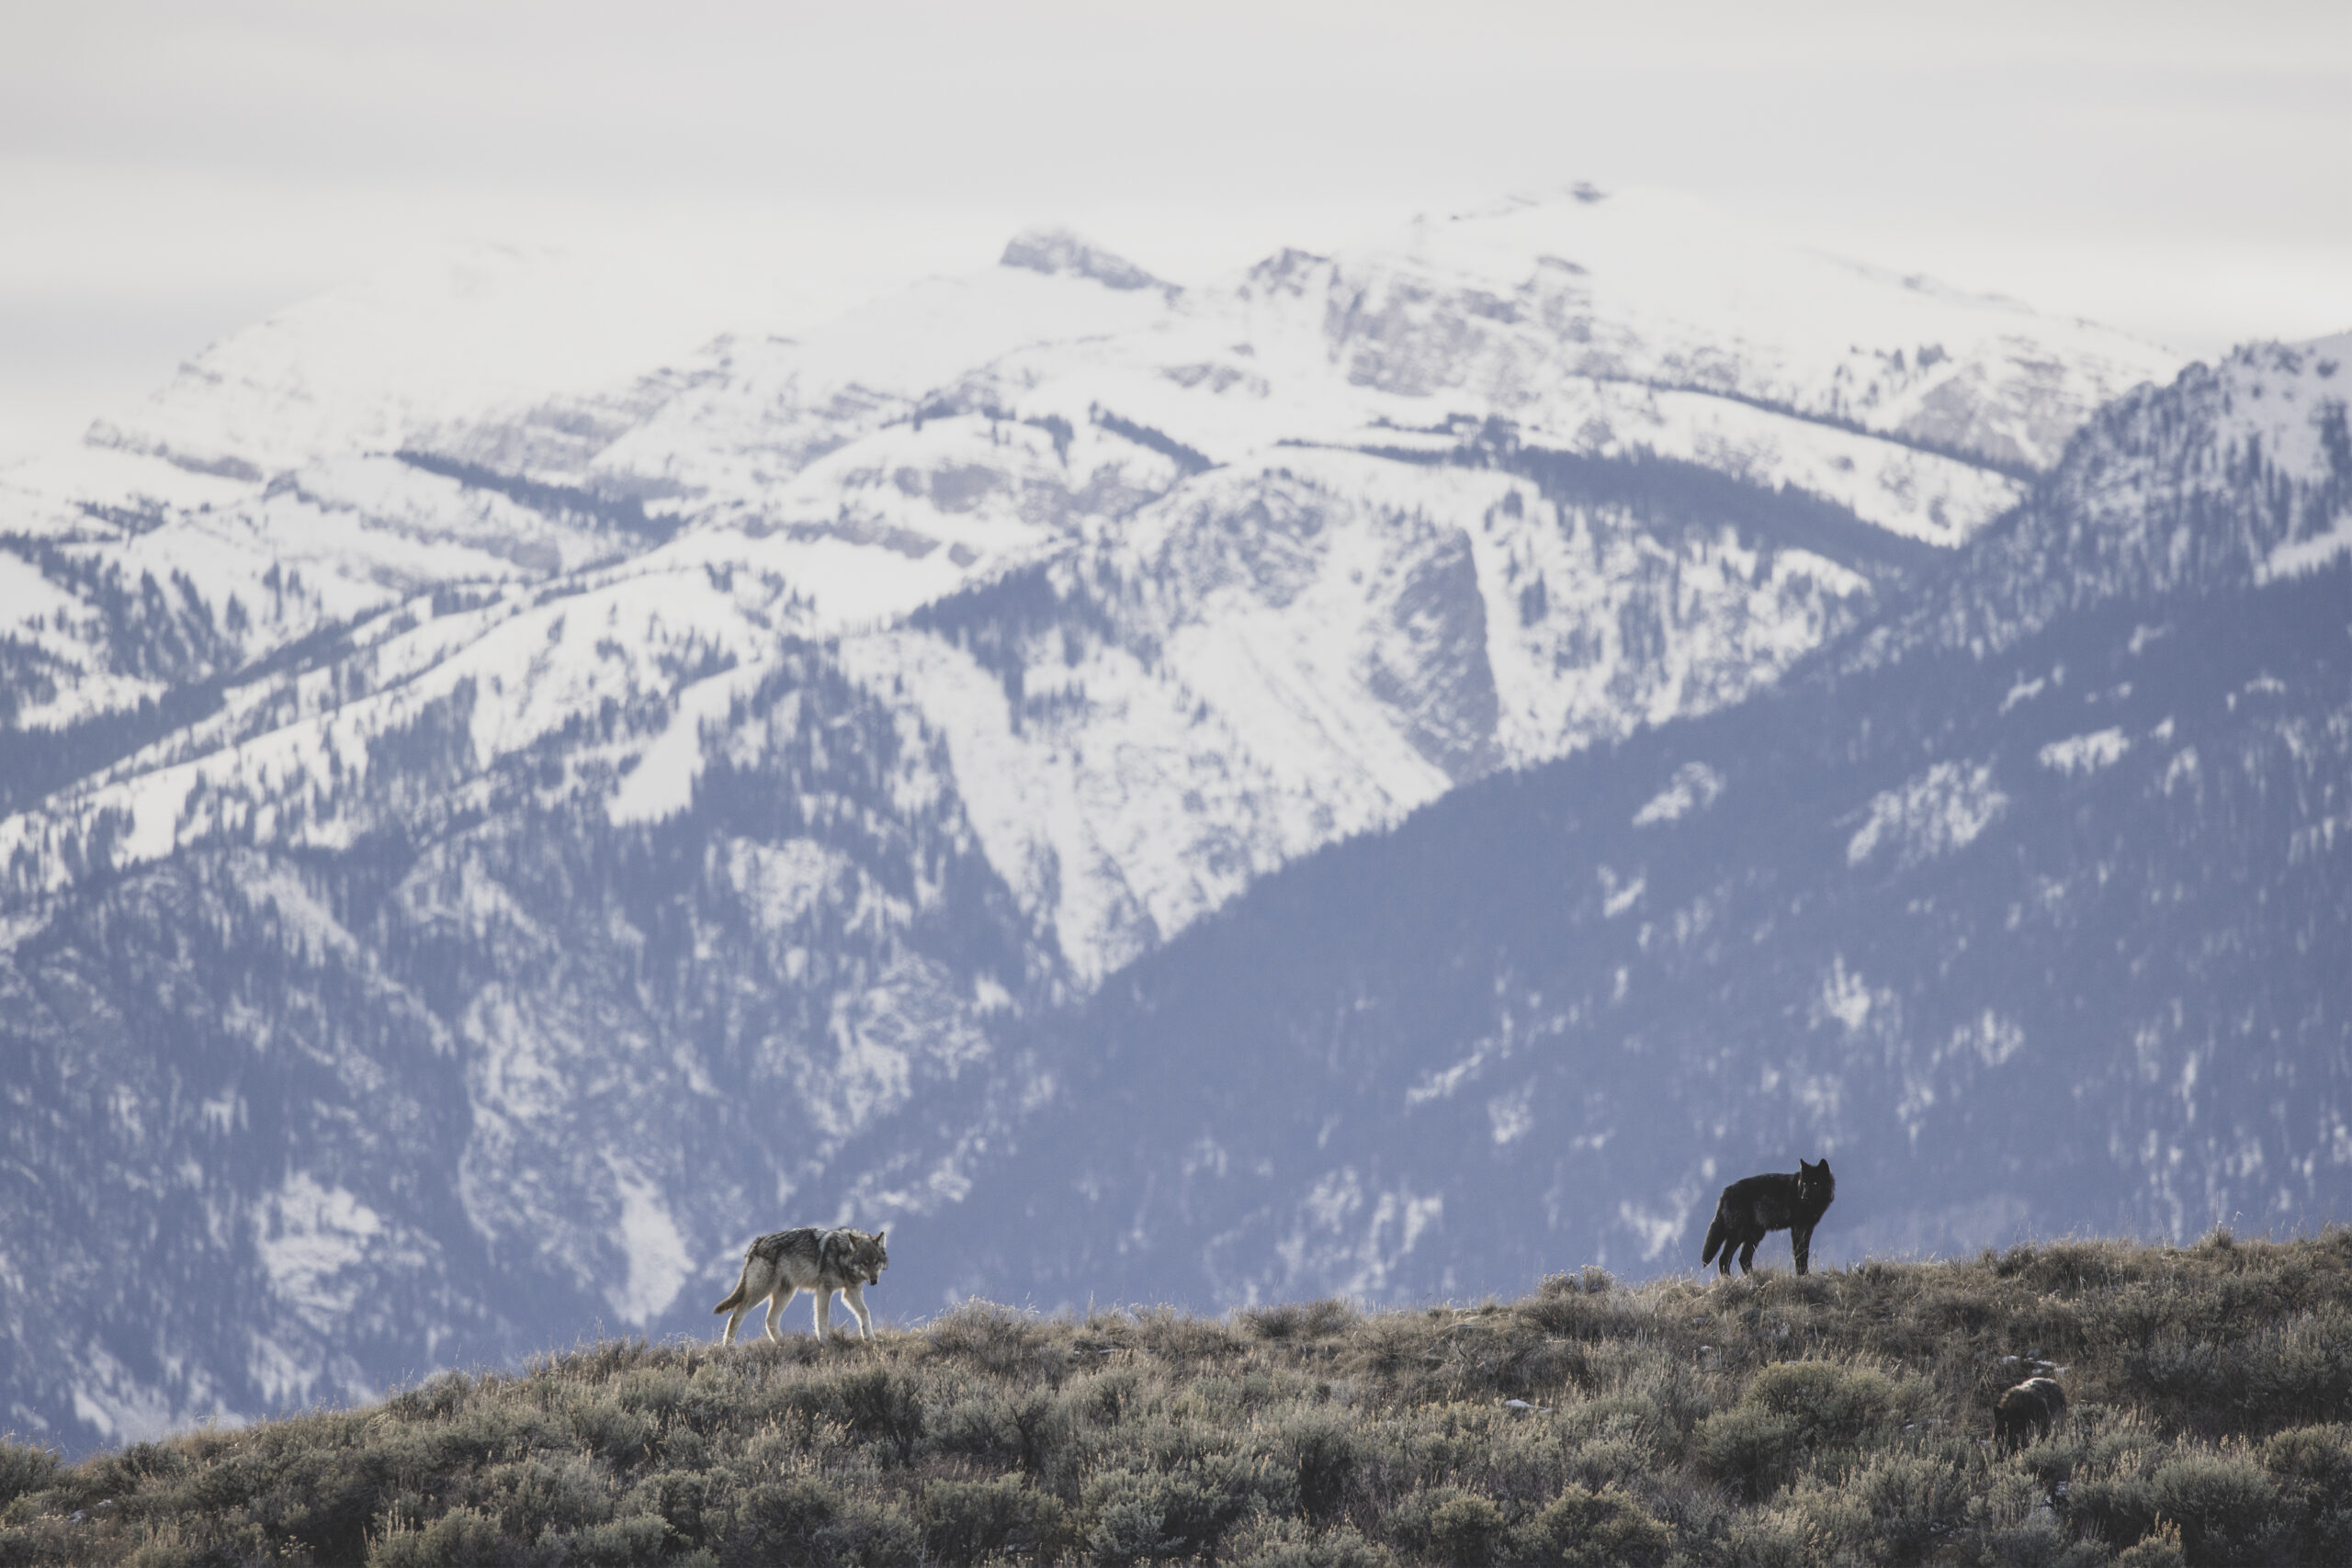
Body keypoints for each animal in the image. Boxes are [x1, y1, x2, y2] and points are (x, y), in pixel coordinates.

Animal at [713, 1226, 888, 1344]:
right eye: (864, 1263)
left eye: (876, 1262)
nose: (874, 1281)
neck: (841, 1254)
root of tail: (757, 1242)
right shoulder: (825, 1290)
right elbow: (823, 1318)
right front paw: (824, 1342)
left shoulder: (851, 1291)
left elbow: (864, 1312)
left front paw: (871, 1338)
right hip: (761, 1292)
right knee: (736, 1315)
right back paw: (728, 1347)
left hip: (786, 1293)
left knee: (770, 1320)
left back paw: (784, 1344)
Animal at [1700, 1159, 1835, 1277]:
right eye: (1805, 1184)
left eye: (1815, 1183)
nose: (1804, 1197)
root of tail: (1725, 1193)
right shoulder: (1798, 1228)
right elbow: (1799, 1254)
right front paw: (1802, 1275)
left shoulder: (1808, 1228)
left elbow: (1805, 1253)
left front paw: (1806, 1274)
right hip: (1740, 1234)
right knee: (1724, 1258)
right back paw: (1730, 1280)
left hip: (1755, 1235)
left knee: (1743, 1258)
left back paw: (1753, 1277)